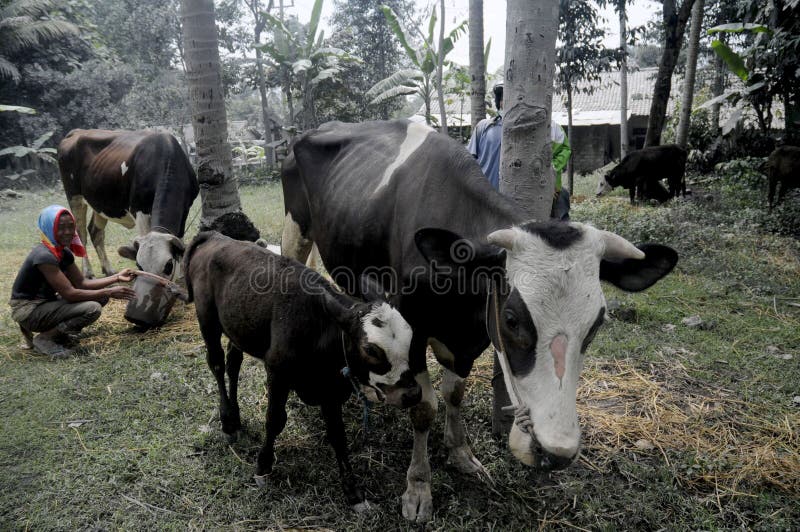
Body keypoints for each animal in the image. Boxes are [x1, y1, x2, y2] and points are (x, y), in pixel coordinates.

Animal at [57, 129, 199, 279]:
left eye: (168, 266)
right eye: (139, 266)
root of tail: (76, 131)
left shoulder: (185, 208)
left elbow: (179, 240)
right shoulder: (139, 210)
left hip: (100, 202)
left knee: (95, 232)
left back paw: (108, 269)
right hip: (74, 197)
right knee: (81, 234)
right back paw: (87, 271)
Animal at [183, 231, 422, 511]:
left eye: (411, 341)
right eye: (371, 350)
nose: (413, 394)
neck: (319, 327)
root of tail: (215, 237)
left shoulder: (330, 388)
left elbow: (337, 434)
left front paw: (352, 490)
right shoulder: (277, 372)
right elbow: (275, 420)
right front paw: (263, 466)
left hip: (238, 328)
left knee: (233, 365)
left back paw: (236, 416)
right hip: (207, 319)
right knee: (218, 365)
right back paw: (228, 421)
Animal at [281, 119, 678, 522]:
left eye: (596, 324)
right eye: (511, 318)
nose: (555, 452)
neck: (460, 304)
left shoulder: (471, 339)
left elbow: (454, 393)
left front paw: (459, 452)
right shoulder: (413, 332)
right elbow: (424, 407)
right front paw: (418, 486)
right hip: (295, 231)